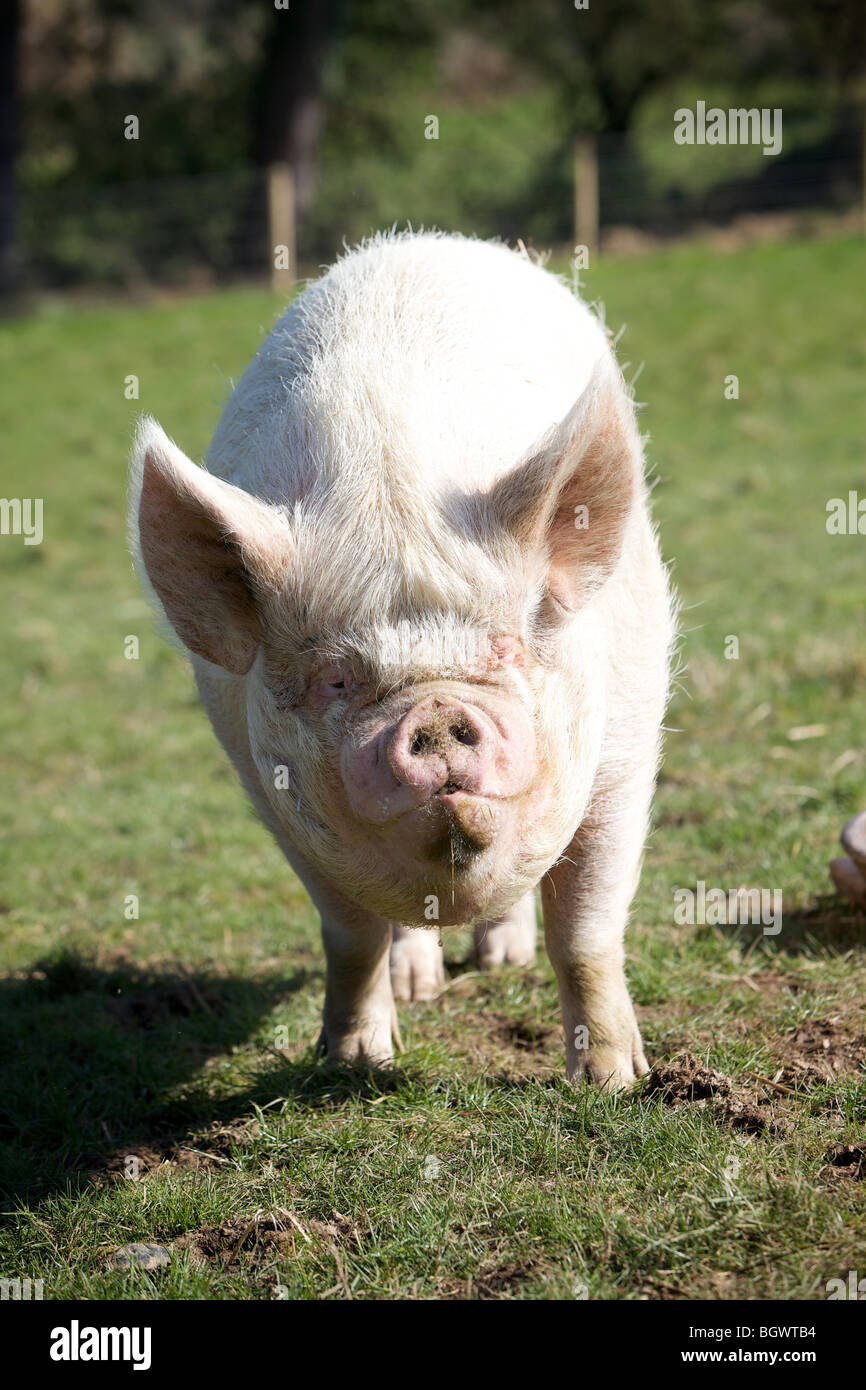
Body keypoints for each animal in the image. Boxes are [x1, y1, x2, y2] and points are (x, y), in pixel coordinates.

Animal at [129, 230, 675, 1087]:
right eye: (336, 679)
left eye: (509, 649)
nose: (439, 713)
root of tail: (423, 241)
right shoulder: (272, 797)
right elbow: (351, 935)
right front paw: (355, 1064)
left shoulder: (622, 756)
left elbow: (586, 935)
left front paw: (617, 1084)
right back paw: (420, 987)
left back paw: (503, 961)